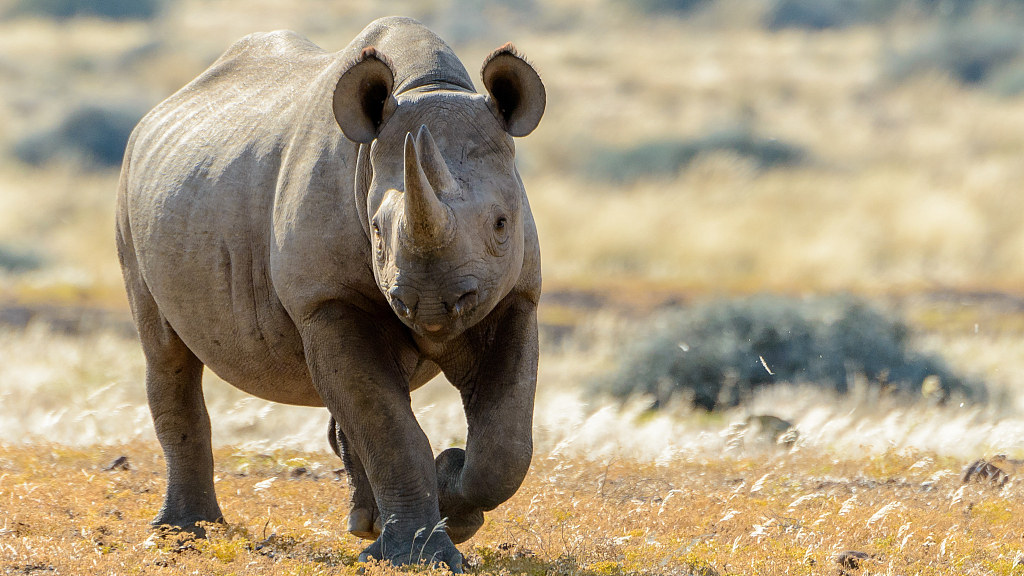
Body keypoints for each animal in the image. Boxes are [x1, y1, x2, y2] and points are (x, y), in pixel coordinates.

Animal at [115, 16, 545, 571]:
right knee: (167, 353)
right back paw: (185, 535)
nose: (431, 302)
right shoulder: (326, 300)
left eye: (500, 224)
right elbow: (387, 425)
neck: (428, 89)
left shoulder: (516, 295)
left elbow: (505, 444)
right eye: (378, 231)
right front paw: (419, 554)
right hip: (130, 192)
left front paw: (451, 493)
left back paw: (366, 522)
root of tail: (157, 113)